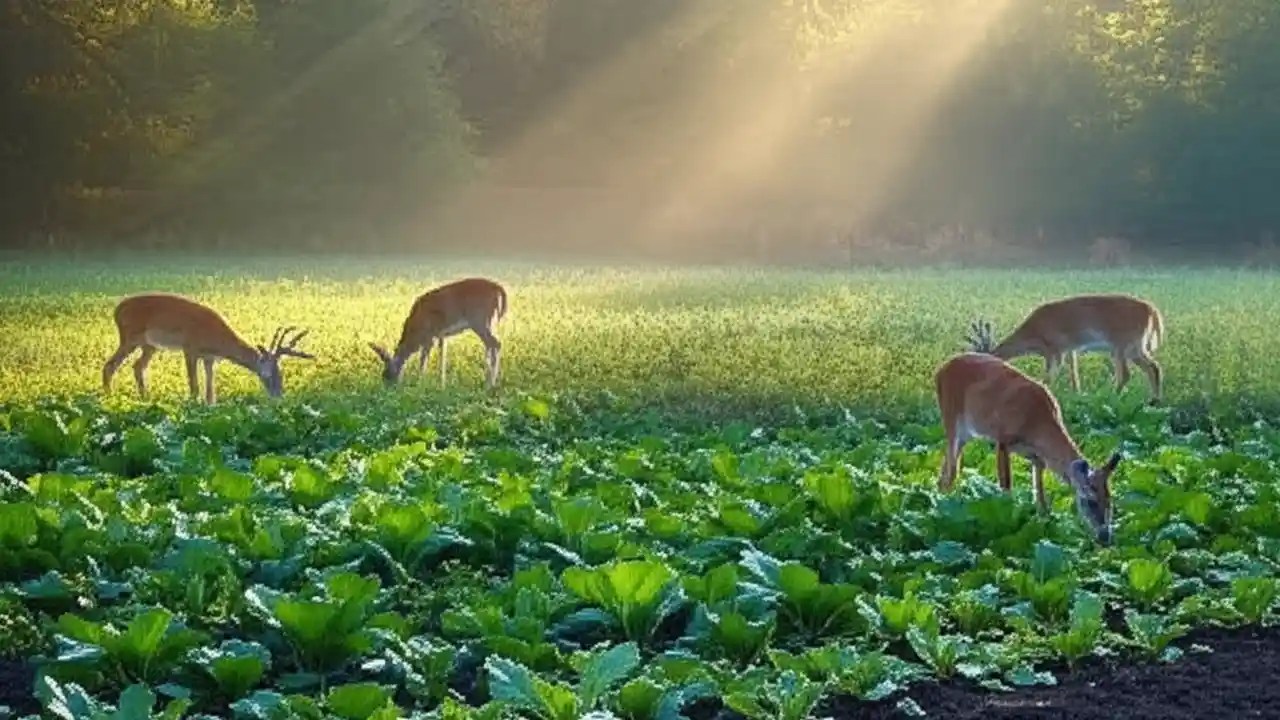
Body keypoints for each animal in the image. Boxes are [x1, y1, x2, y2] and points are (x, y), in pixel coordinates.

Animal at [102, 293, 315, 404]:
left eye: (282, 374)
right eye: (270, 374)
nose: (279, 396)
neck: (217, 339)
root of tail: (116, 310)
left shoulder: (209, 358)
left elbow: (210, 390)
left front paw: (209, 407)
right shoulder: (190, 347)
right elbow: (194, 386)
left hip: (149, 345)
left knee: (137, 367)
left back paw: (145, 399)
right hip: (130, 337)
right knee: (110, 366)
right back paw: (109, 398)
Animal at [368, 277, 508, 389]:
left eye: (387, 375)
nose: (388, 389)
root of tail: (499, 289)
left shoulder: (429, 335)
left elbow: (423, 359)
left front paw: (420, 382)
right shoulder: (441, 335)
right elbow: (442, 357)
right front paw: (442, 384)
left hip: (480, 320)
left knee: (496, 343)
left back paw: (490, 384)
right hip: (487, 321)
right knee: (491, 345)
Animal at [935, 351, 1120, 545]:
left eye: (1110, 501)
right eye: (1090, 501)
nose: (1105, 537)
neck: (1038, 424)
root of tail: (941, 370)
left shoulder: (1038, 459)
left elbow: (1041, 500)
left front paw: (1044, 527)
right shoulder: (1003, 439)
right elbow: (1006, 488)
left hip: (965, 434)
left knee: (945, 473)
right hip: (951, 419)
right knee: (952, 473)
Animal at [967, 293, 1165, 402]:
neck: (1035, 334)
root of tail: (1152, 310)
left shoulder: (1056, 348)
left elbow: (1049, 376)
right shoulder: (1070, 349)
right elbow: (1073, 374)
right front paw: (1077, 394)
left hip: (1122, 344)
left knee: (1126, 374)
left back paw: (1113, 397)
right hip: (1135, 347)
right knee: (1153, 367)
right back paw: (1154, 401)